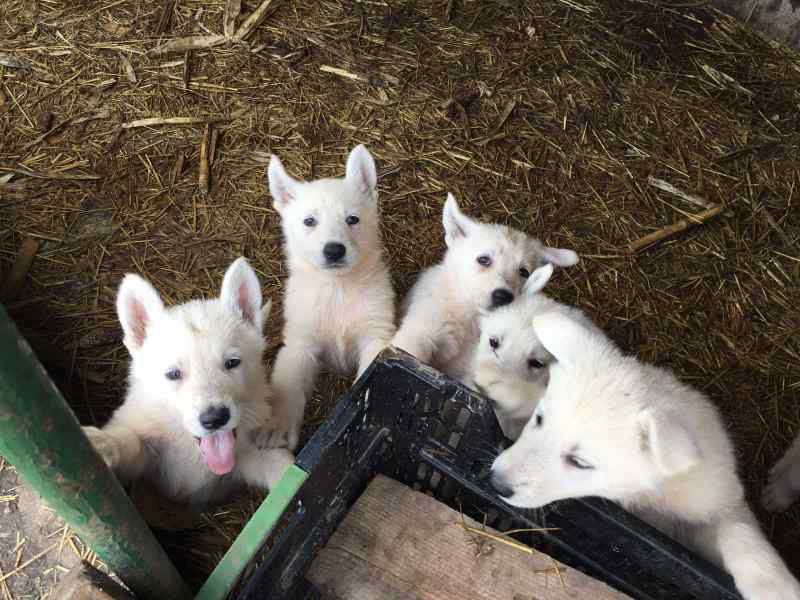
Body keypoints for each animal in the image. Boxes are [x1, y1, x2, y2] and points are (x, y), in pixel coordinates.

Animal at [82, 256, 294, 506]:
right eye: (173, 374)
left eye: (232, 362)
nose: (215, 419)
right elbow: (130, 441)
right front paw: (100, 442)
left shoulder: (247, 452)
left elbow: (279, 463)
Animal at [266, 144, 396, 450]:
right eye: (309, 221)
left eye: (353, 219)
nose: (334, 250)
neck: (338, 289)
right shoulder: (300, 344)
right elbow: (289, 385)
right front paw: (279, 426)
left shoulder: (375, 337)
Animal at [392, 197, 576, 382]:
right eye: (483, 259)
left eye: (524, 272)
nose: (503, 296)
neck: (470, 316)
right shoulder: (422, 330)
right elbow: (409, 351)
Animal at [488, 314, 800, 600]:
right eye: (539, 419)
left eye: (581, 463)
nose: (497, 483)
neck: (643, 494)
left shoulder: (716, 500)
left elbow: (740, 533)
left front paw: (776, 588)